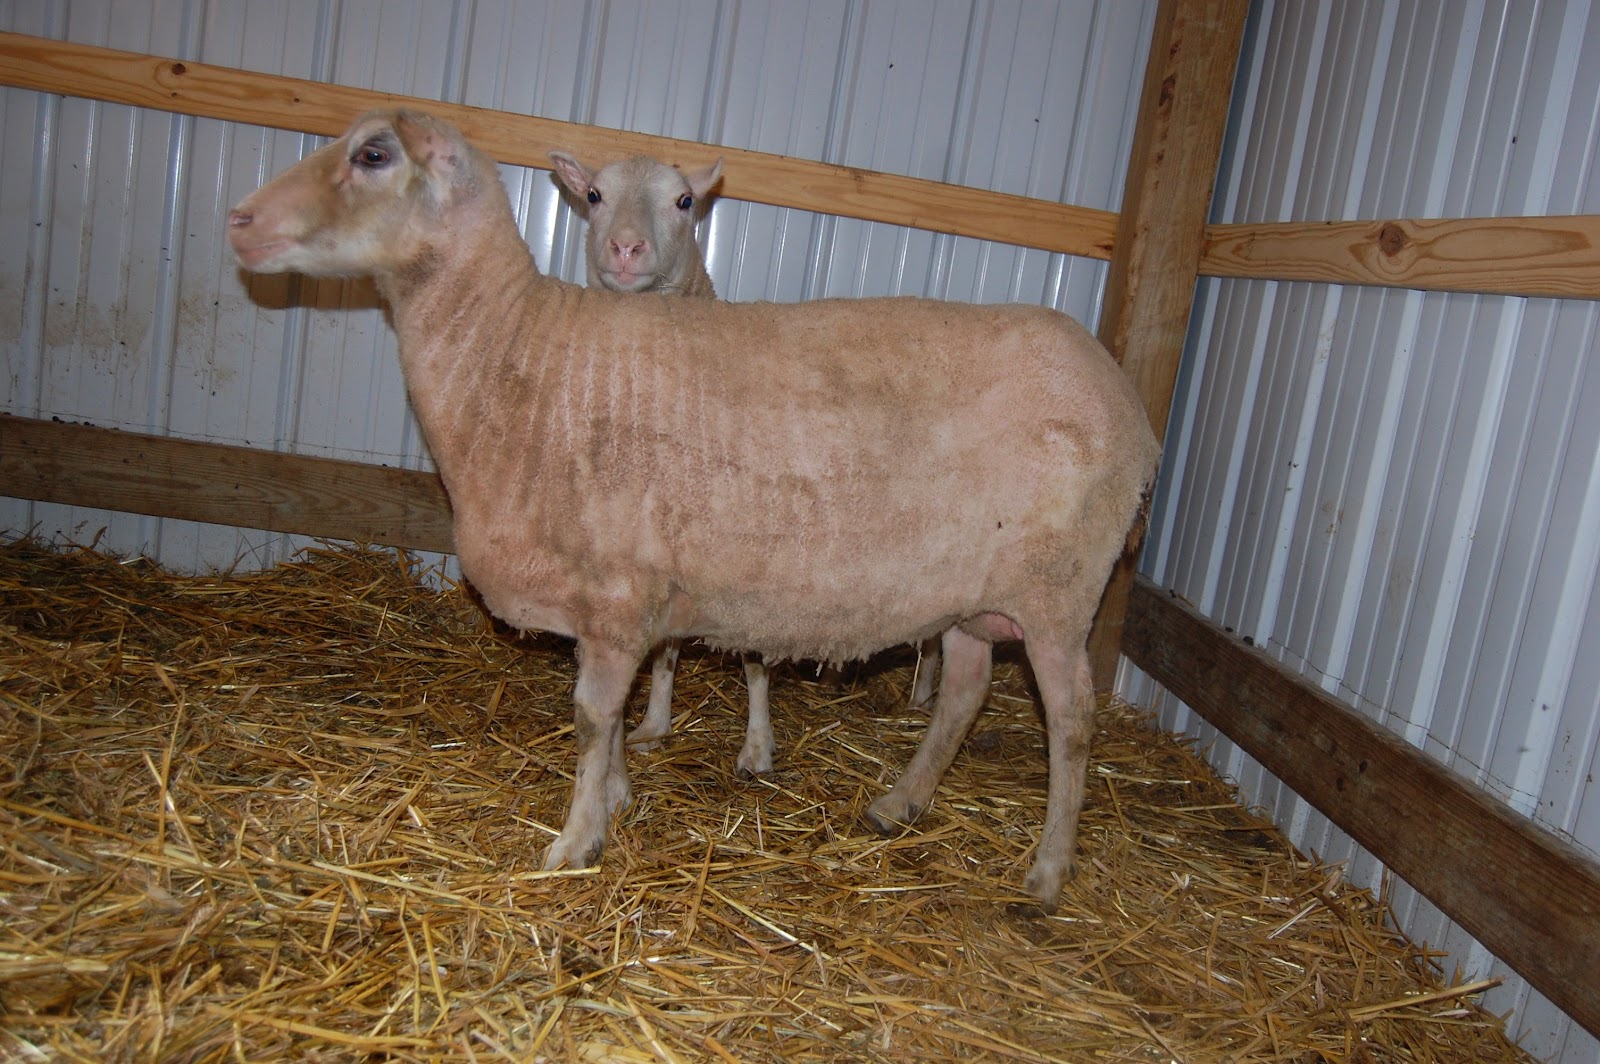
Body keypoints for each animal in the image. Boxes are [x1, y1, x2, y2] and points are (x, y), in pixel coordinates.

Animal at [547, 149, 944, 776]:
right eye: (593, 195)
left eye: (685, 201)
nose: (626, 248)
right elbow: (665, 649)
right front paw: (653, 725)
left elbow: (755, 657)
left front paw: (757, 747)